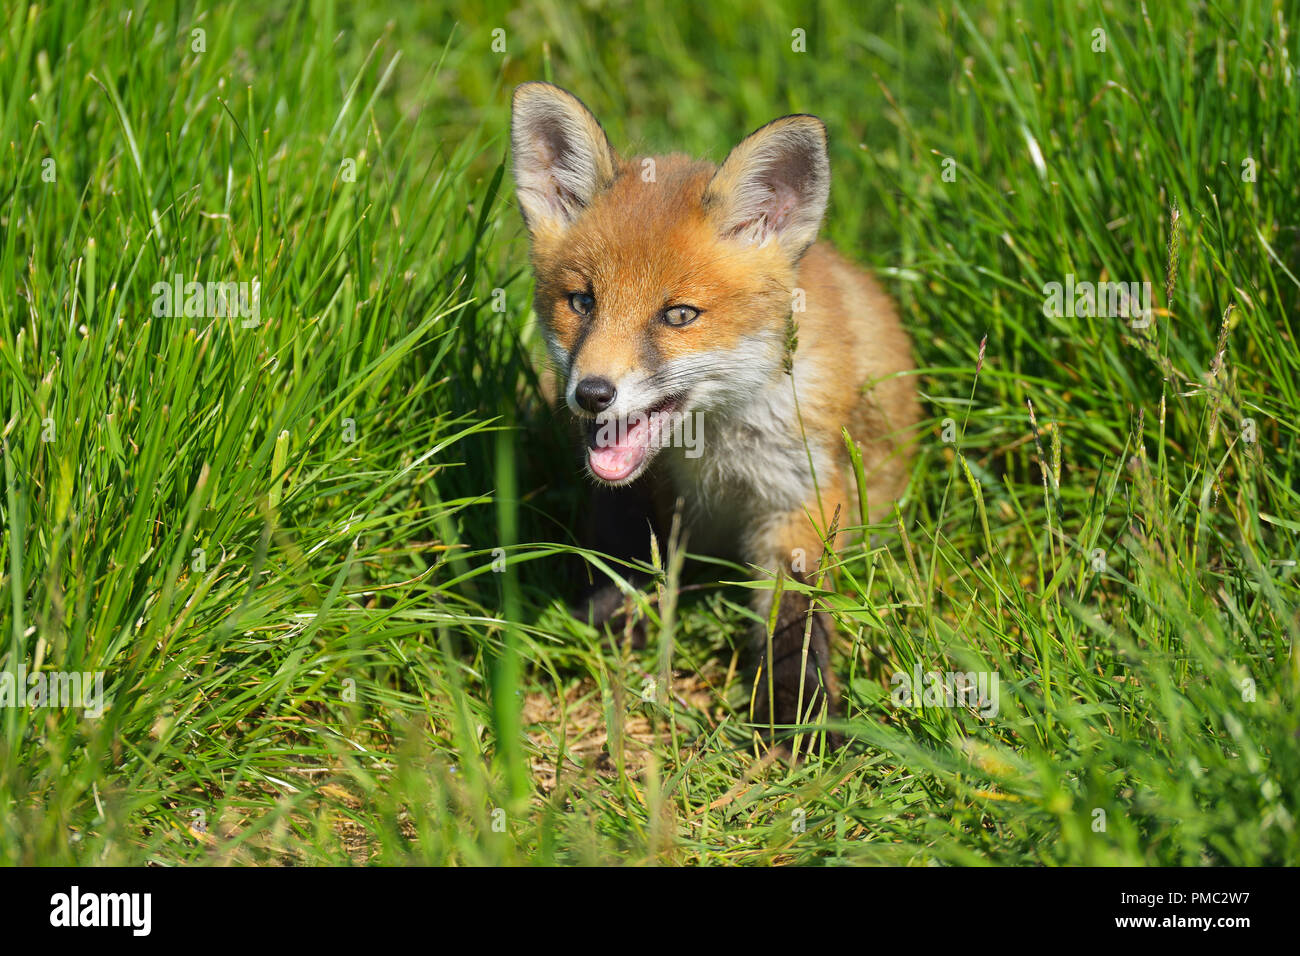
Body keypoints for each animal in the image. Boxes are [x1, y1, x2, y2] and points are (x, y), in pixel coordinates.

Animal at [510, 82, 921, 749]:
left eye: (678, 315)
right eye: (582, 302)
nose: (592, 394)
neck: (717, 454)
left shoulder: (799, 499)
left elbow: (795, 621)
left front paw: (799, 712)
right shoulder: (637, 497)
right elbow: (625, 566)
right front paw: (601, 627)